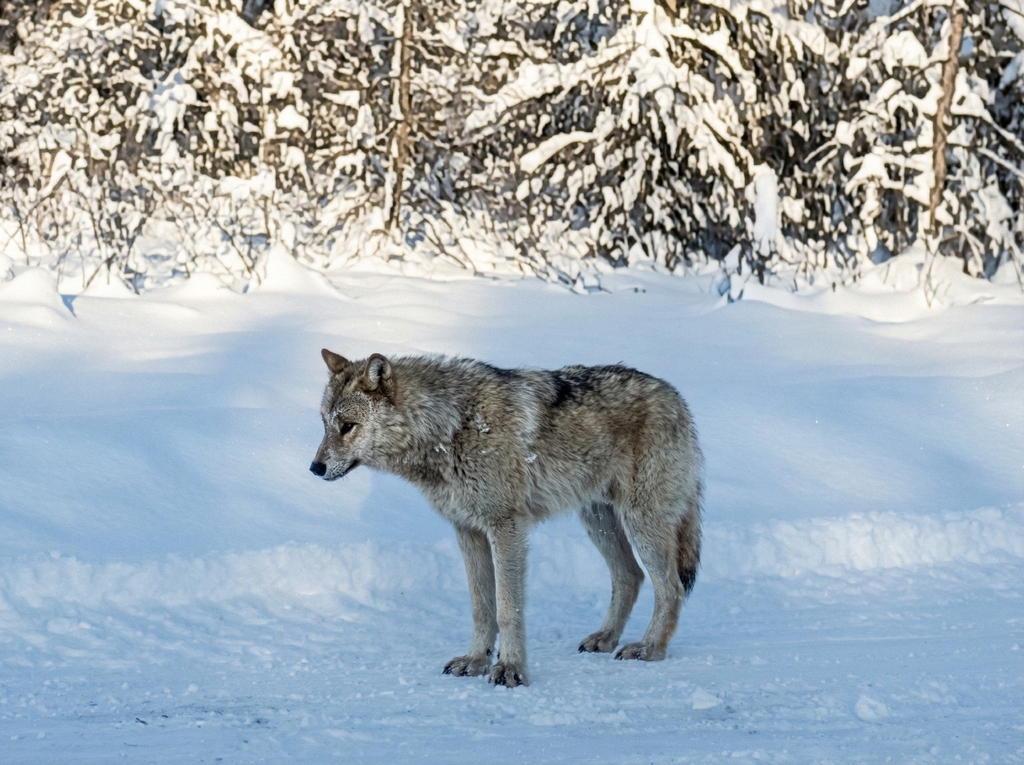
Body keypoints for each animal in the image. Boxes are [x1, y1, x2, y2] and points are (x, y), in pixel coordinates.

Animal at [311, 350, 702, 688]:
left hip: (640, 522)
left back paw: (649, 649)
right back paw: (605, 639)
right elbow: (481, 607)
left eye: (348, 426)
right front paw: (475, 661)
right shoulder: (467, 530)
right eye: (324, 424)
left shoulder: (506, 527)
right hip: (598, 521)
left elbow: (507, 608)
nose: (315, 468)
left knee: (670, 588)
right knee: (630, 576)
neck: (451, 426)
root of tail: (676, 397)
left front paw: (510, 669)